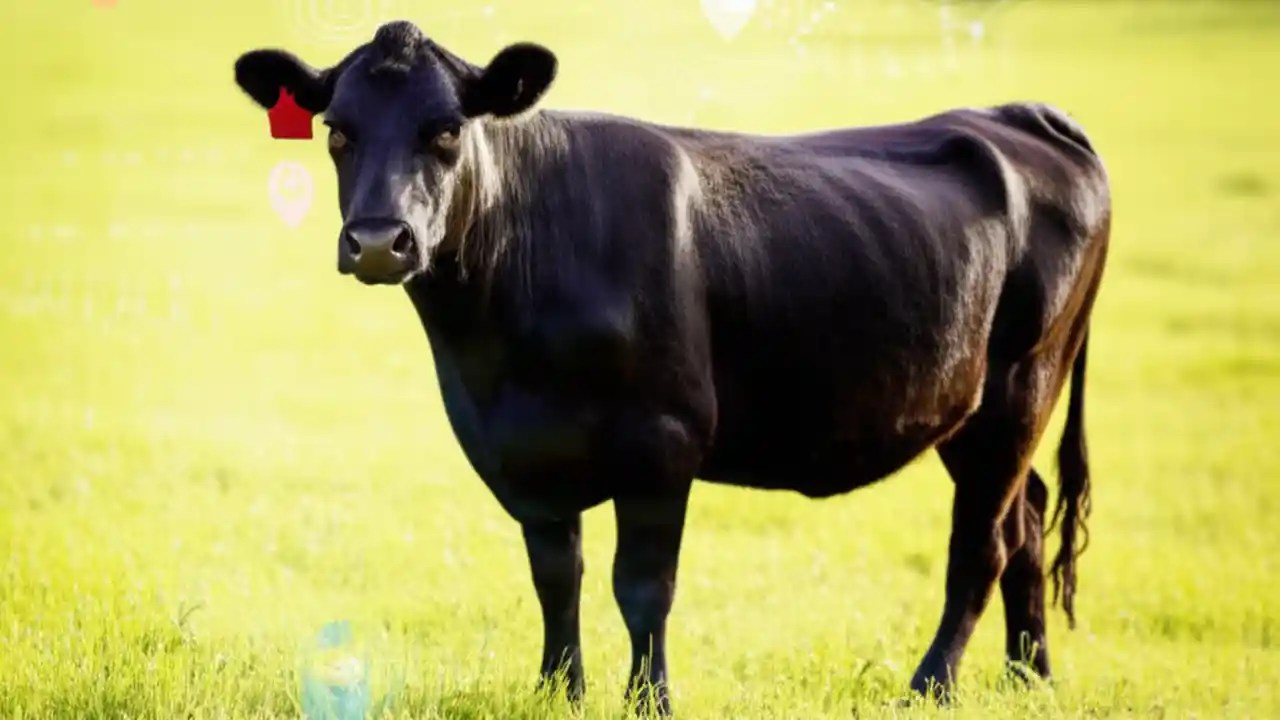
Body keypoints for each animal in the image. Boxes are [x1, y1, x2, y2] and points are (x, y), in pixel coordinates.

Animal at [234, 20, 1110, 714]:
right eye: (337, 130)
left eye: (447, 129)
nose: (380, 242)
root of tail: (1016, 115)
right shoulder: (520, 451)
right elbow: (557, 576)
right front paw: (559, 691)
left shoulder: (663, 441)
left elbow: (643, 587)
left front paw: (647, 700)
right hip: (973, 412)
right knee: (1026, 521)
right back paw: (1031, 678)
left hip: (1021, 386)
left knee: (982, 544)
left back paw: (930, 686)